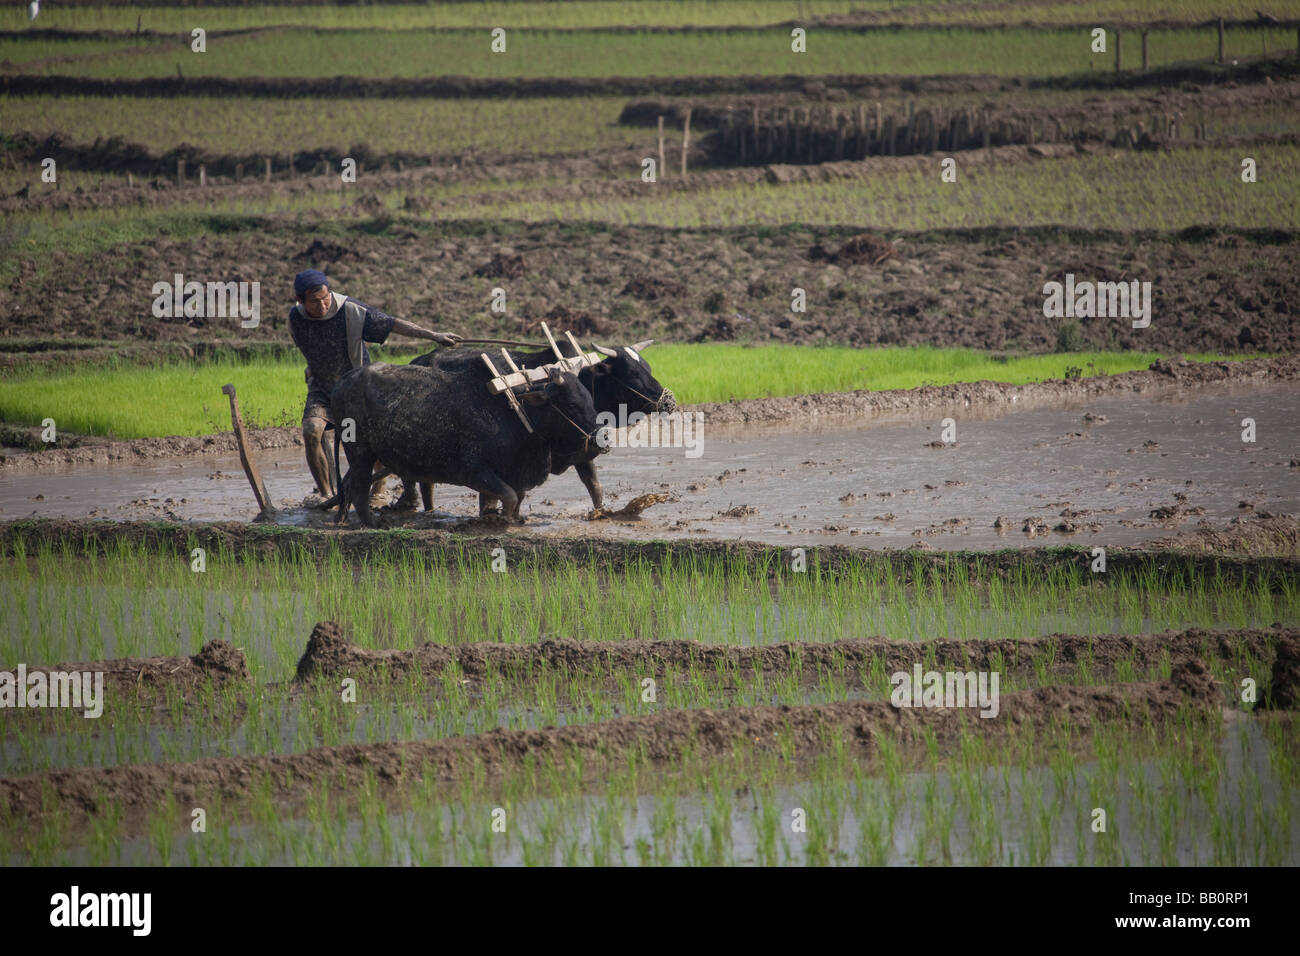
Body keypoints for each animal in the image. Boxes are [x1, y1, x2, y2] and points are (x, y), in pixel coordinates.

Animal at [329, 360, 606, 528]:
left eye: (590, 399)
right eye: (571, 404)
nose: (601, 440)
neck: (514, 413)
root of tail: (343, 380)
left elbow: (513, 496)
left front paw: (507, 518)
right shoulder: (473, 470)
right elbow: (509, 496)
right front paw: (502, 520)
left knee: (349, 485)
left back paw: (342, 518)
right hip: (359, 450)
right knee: (359, 488)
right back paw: (371, 523)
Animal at [409, 339, 674, 513]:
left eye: (648, 368)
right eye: (632, 373)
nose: (669, 401)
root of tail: (419, 358)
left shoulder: (583, 451)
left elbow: (595, 488)